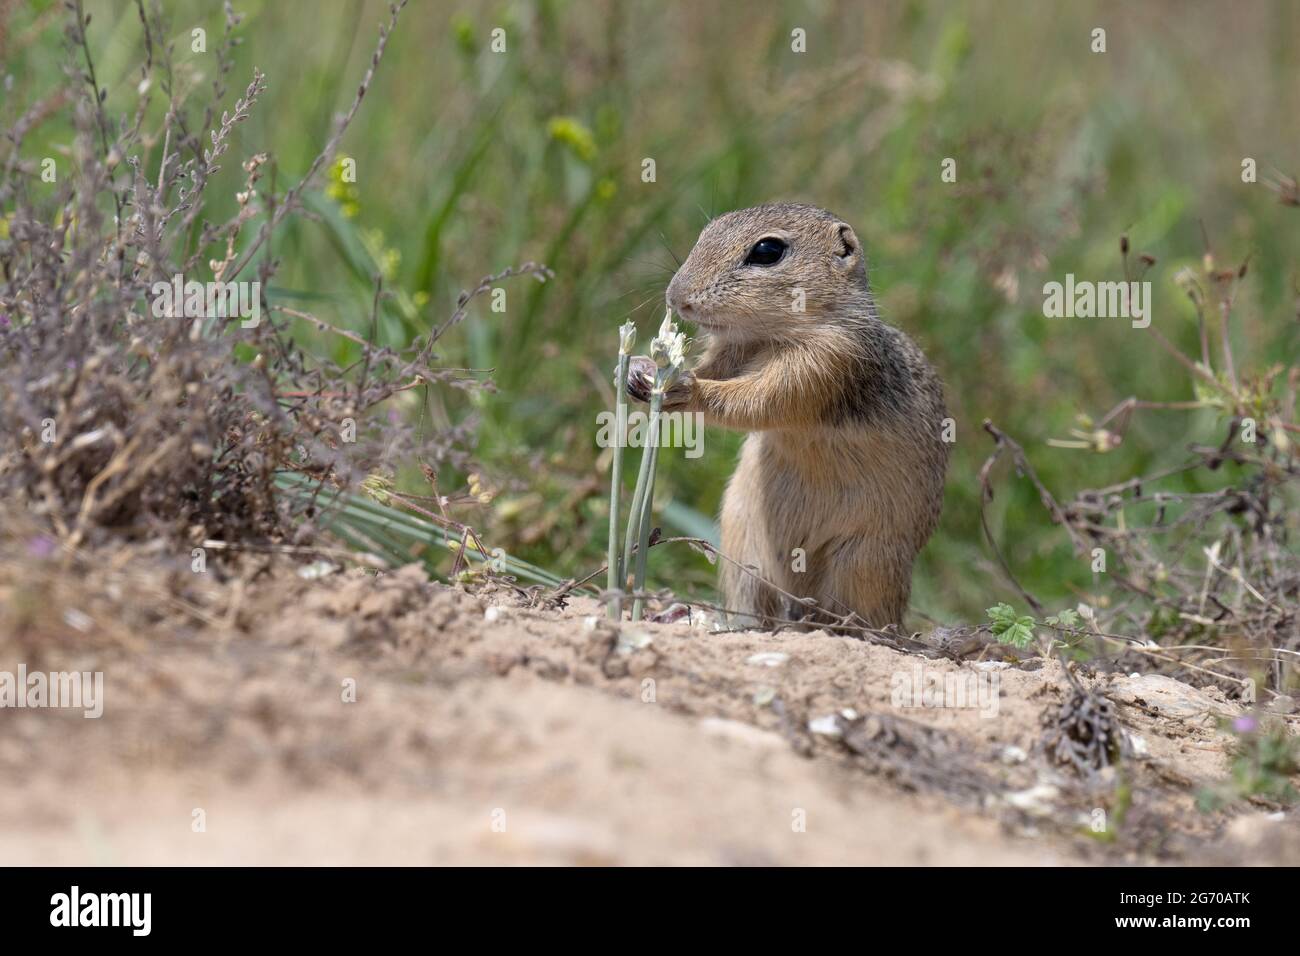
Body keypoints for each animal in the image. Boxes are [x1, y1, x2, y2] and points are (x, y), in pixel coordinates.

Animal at [626, 202, 948, 632]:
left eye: (767, 251)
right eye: (707, 231)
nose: (677, 298)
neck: (768, 335)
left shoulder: (826, 364)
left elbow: (759, 401)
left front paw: (687, 388)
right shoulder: (732, 353)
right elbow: (716, 371)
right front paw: (640, 369)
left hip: (861, 561)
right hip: (745, 550)